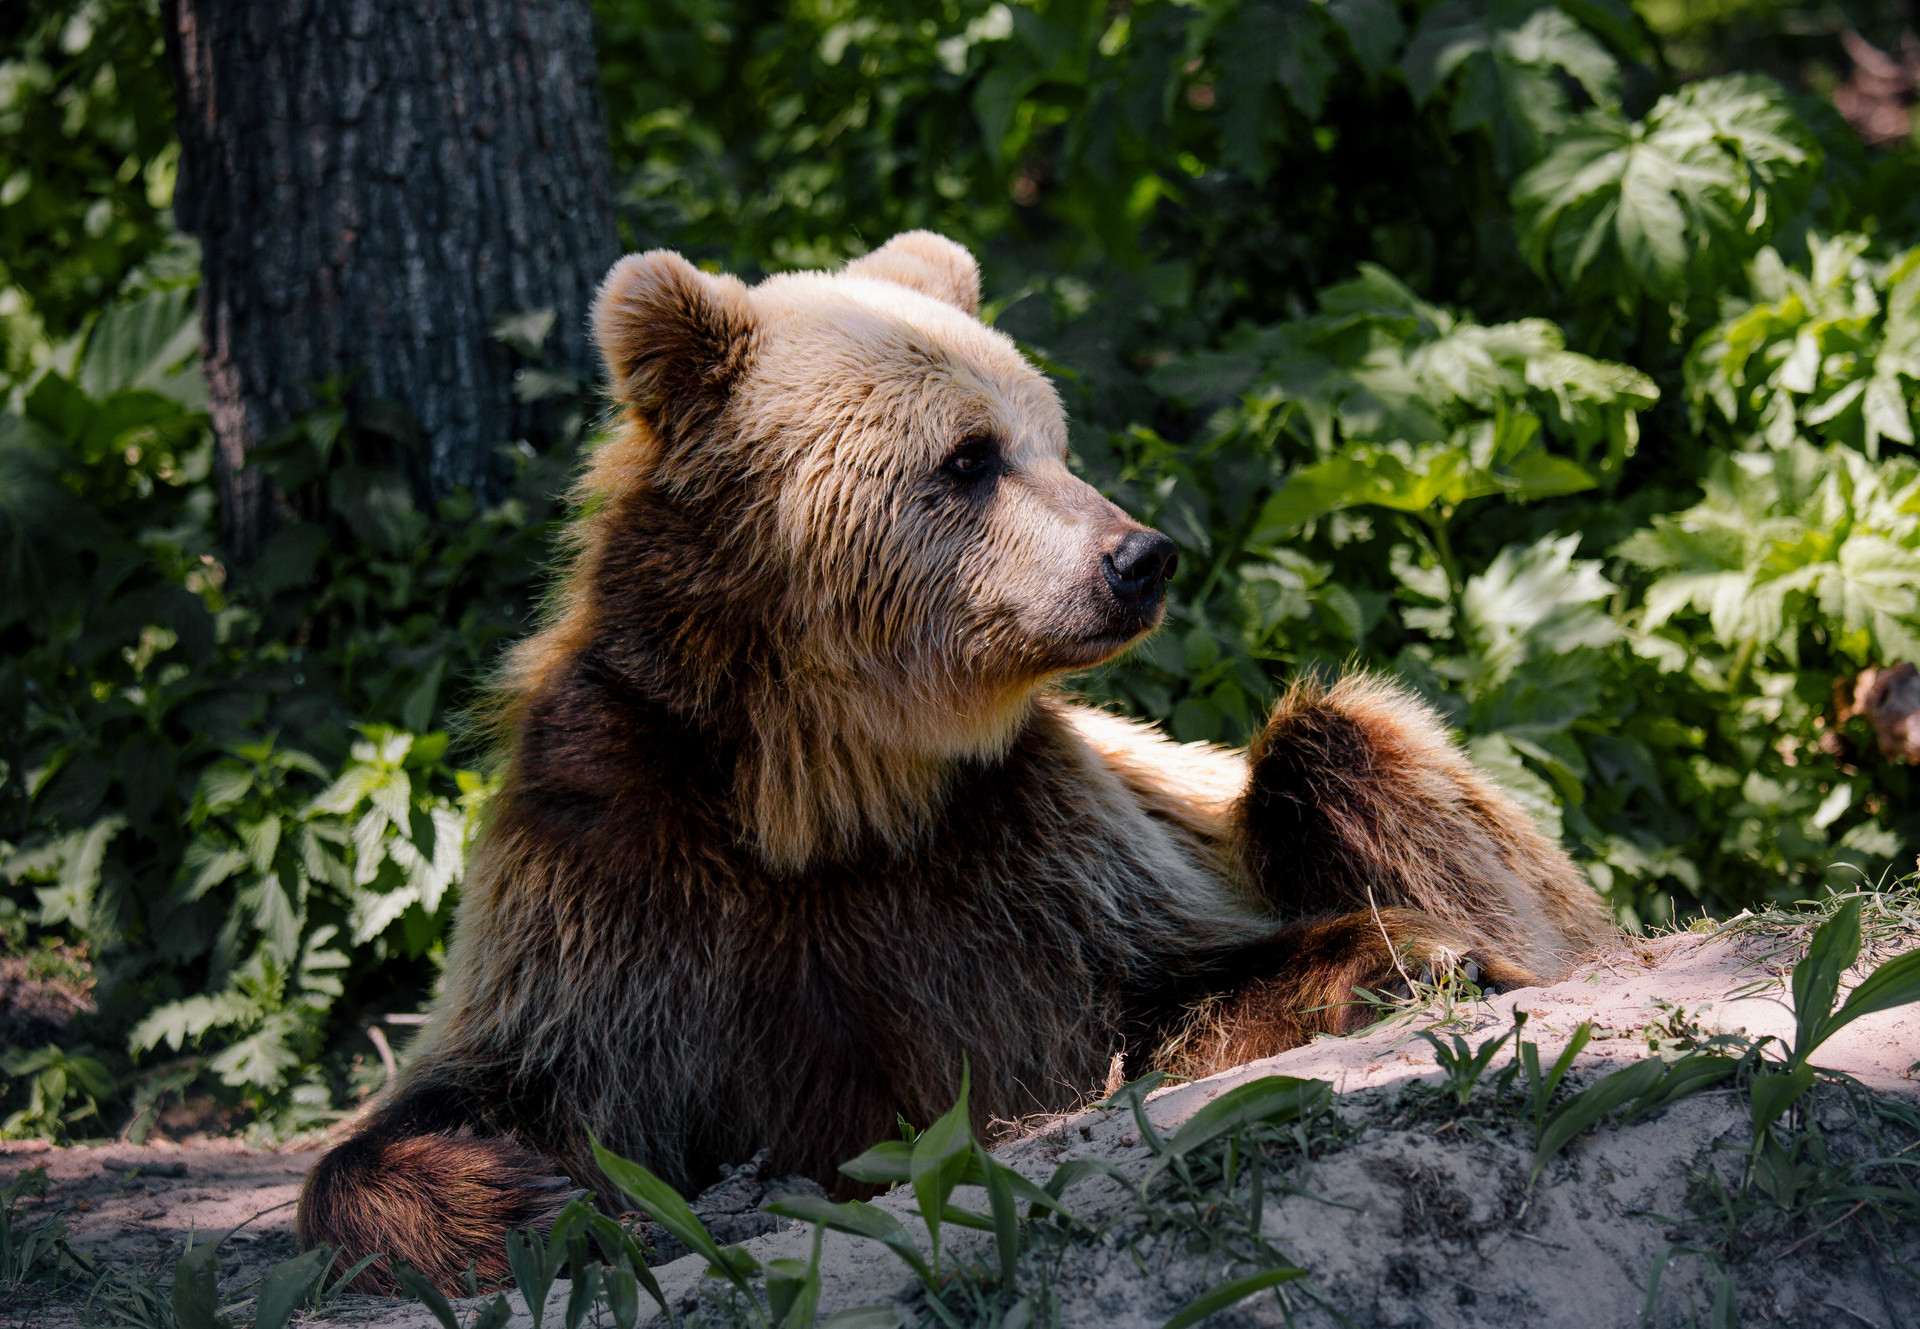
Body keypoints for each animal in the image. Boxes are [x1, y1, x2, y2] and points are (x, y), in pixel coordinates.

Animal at [297, 231, 1611, 1293]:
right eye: (970, 456)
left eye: (1053, 437)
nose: (1139, 558)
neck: (823, 786)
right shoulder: (621, 855)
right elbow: (470, 1095)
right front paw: (516, 1198)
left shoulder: (1010, 854)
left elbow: (1167, 987)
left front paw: (1410, 951)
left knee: (1336, 744)